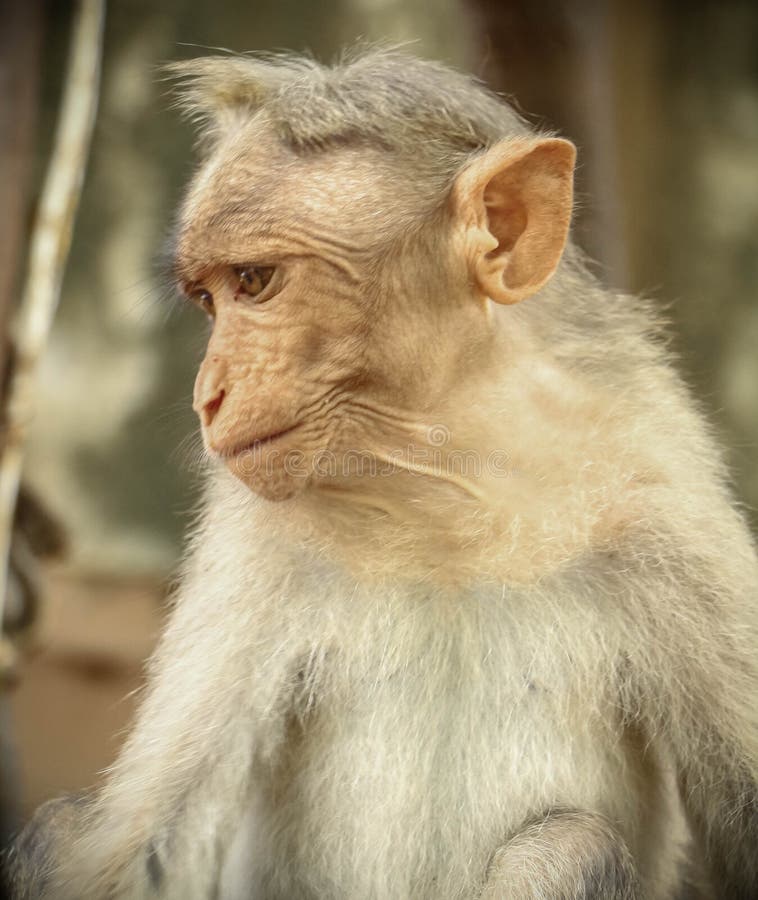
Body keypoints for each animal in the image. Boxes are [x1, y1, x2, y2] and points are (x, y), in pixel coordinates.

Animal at [4, 48, 758, 900]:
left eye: (254, 281)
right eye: (206, 297)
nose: (208, 396)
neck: (445, 485)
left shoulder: (657, 484)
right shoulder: (255, 529)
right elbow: (145, 845)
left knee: (562, 845)